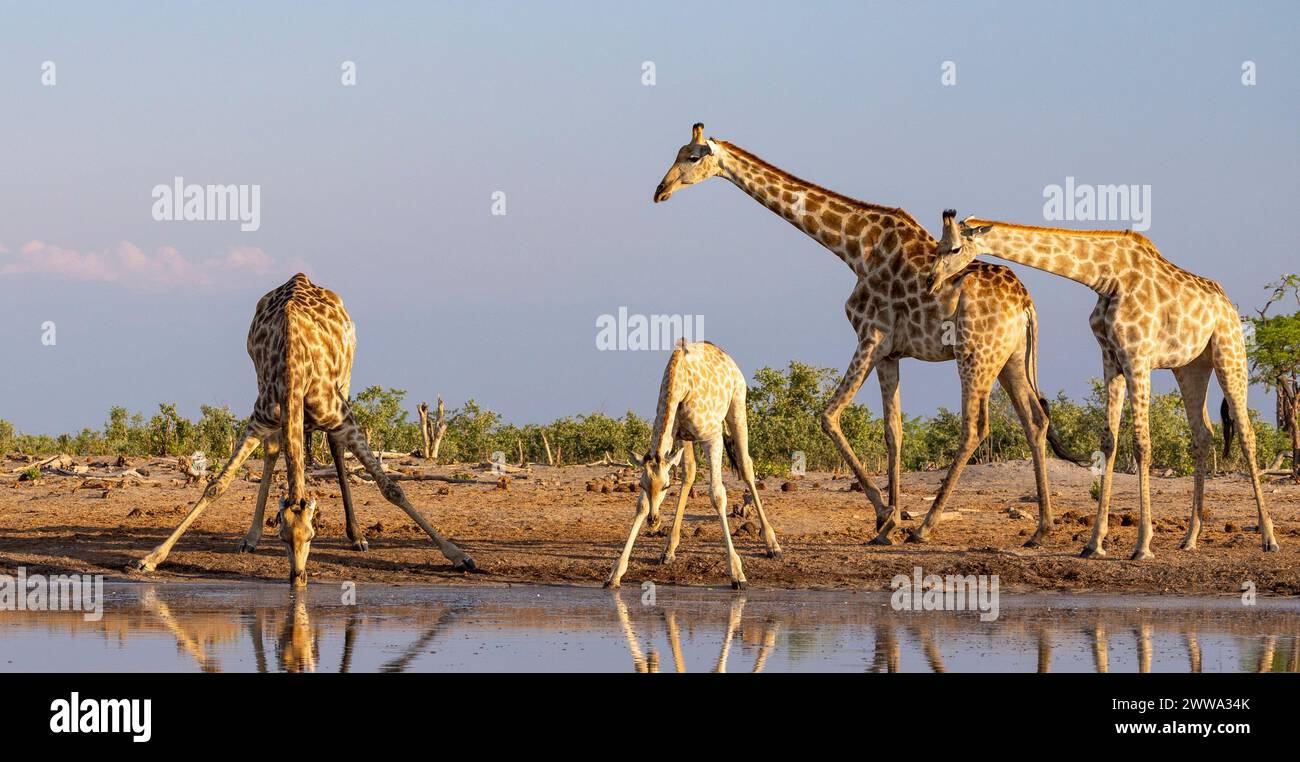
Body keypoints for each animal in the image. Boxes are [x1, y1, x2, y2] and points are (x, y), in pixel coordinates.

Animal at [130, 274, 475, 584]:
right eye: (283, 536)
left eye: (311, 535)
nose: (298, 577)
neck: (295, 369)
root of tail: (302, 277)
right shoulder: (260, 417)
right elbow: (217, 485)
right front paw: (150, 558)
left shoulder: (343, 418)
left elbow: (391, 488)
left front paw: (459, 556)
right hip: (268, 396)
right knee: (273, 450)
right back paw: (250, 538)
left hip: (346, 378)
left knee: (335, 448)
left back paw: (357, 537)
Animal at [605, 340, 778, 589]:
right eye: (641, 485)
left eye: (666, 487)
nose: (654, 521)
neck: (679, 385)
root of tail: (725, 356)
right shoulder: (672, 435)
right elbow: (642, 504)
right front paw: (616, 573)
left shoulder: (711, 436)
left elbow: (717, 495)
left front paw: (737, 573)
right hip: (686, 439)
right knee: (689, 473)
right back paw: (669, 550)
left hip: (736, 407)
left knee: (746, 466)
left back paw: (772, 545)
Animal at [653, 123, 1082, 546]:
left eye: (693, 156)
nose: (660, 190)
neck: (855, 247)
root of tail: (1026, 305)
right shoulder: (890, 353)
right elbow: (894, 432)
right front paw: (888, 520)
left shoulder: (870, 336)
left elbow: (828, 416)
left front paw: (886, 515)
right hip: (1011, 359)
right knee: (1035, 420)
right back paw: (1042, 528)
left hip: (975, 355)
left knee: (975, 428)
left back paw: (926, 527)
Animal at [926, 210, 1278, 559]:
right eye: (938, 246)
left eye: (954, 248)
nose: (931, 282)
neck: (1107, 278)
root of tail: (1227, 305)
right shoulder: (1111, 361)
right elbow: (1109, 442)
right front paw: (1094, 543)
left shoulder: (1137, 359)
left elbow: (1141, 444)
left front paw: (1142, 545)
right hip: (1191, 367)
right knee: (1202, 433)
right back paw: (1190, 537)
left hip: (1229, 352)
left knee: (1246, 433)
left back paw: (1268, 537)